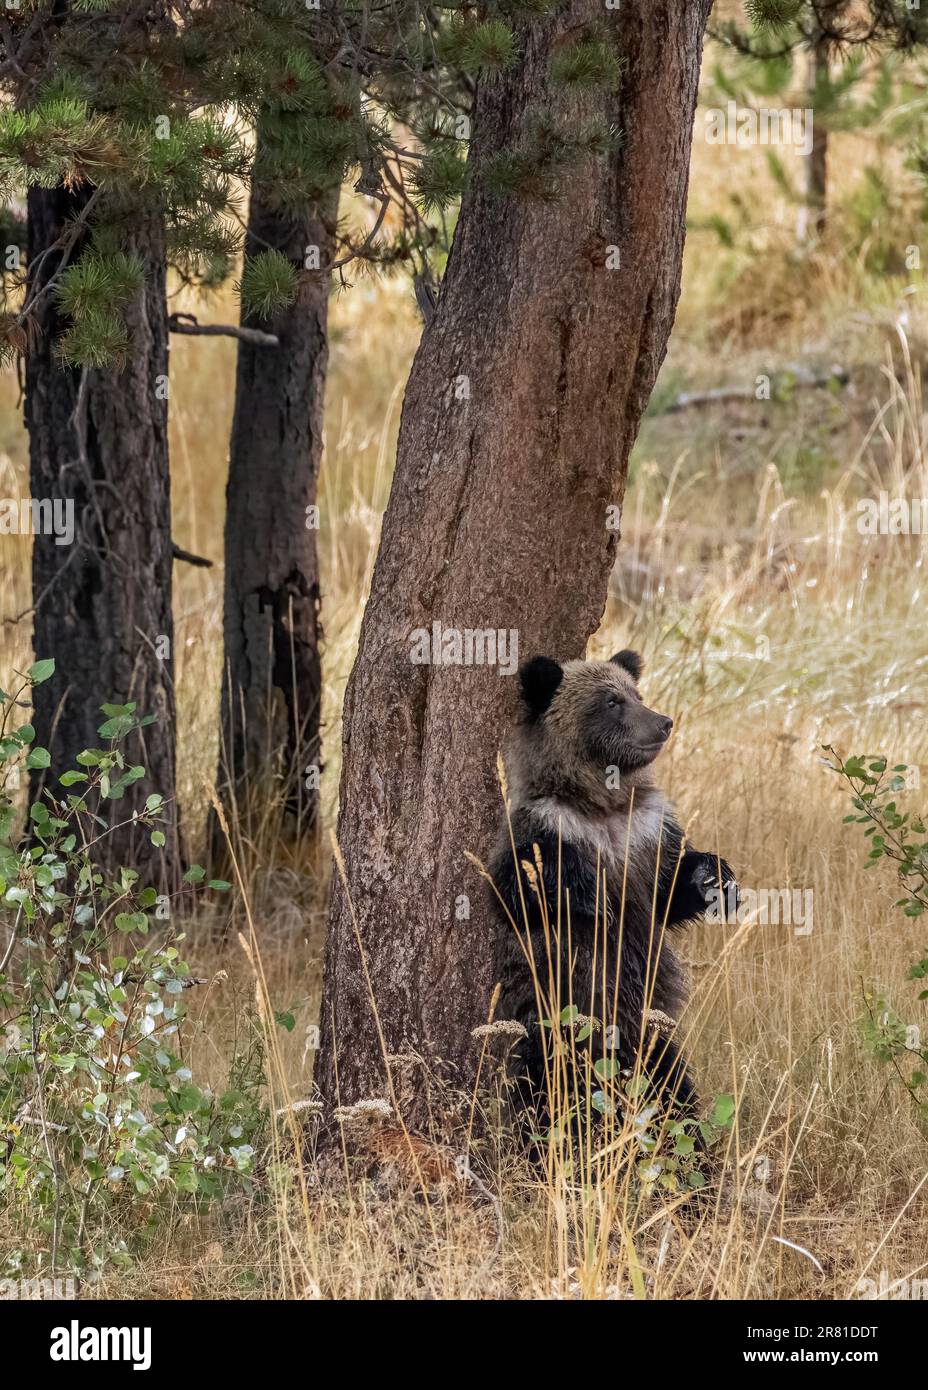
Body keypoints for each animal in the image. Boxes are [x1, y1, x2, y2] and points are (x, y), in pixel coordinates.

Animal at [489, 649, 736, 1142]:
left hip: (651, 1034)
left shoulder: (647, 833)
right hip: (552, 1026)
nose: (662, 722)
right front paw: (586, 894)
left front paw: (713, 877)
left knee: (672, 1087)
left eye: (635, 693)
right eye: (610, 701)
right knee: (544, 1093)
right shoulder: (544, 828)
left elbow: (669, 888)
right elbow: (517, 887)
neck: (602, 807)